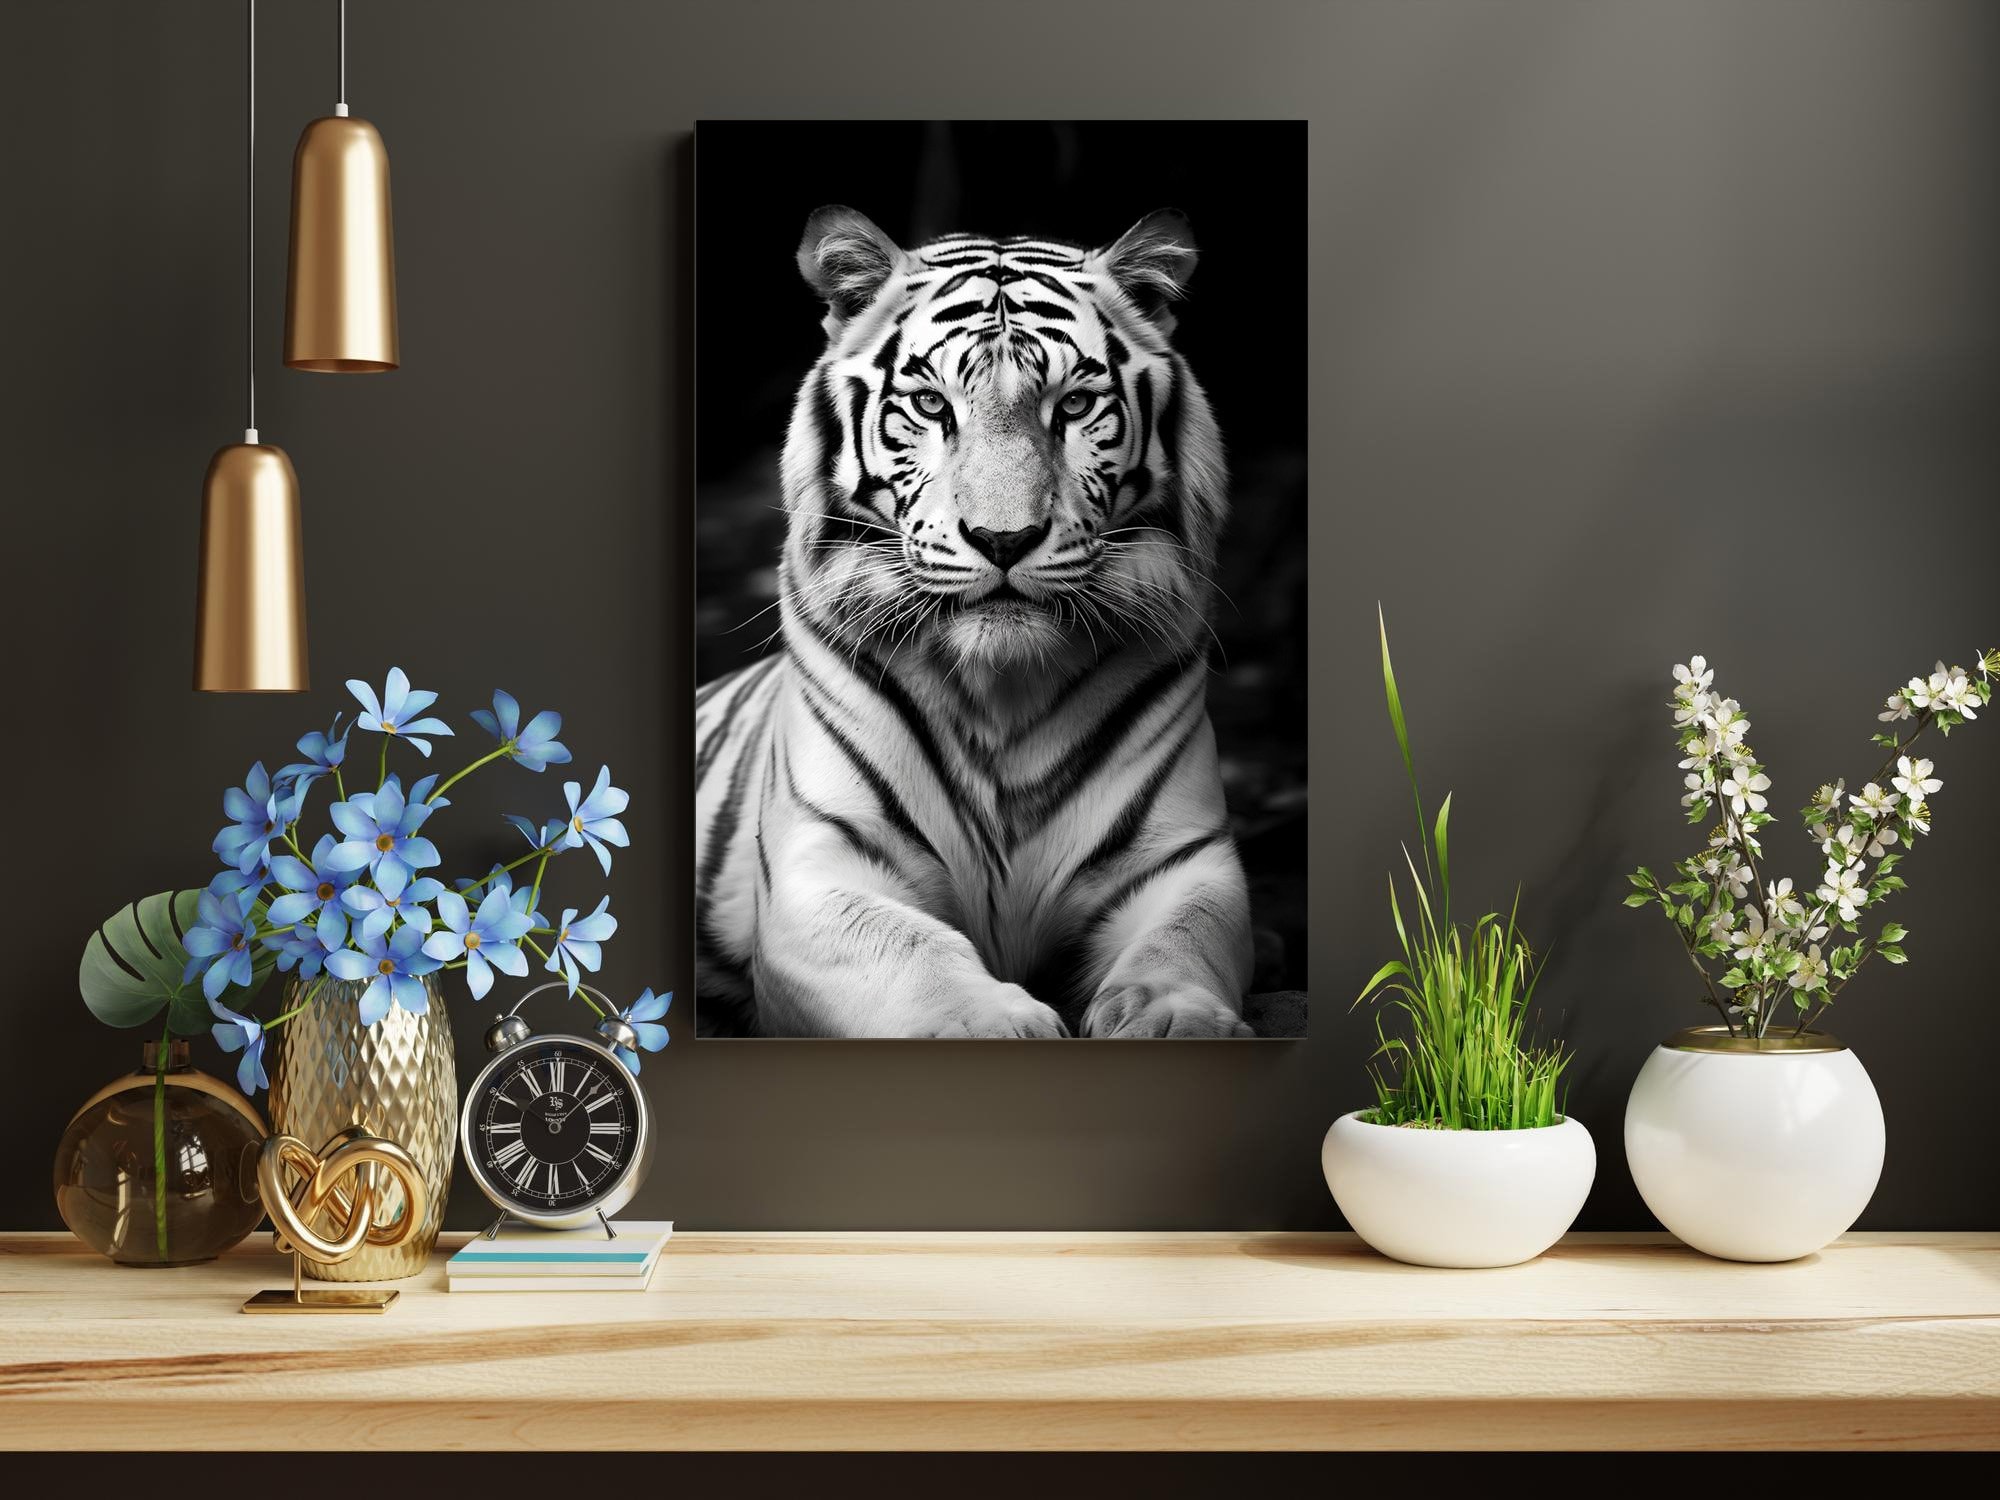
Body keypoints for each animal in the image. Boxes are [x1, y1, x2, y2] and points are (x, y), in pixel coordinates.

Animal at [693, 205, 1256, 1038]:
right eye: (932, 405)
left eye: (1074, 406)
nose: (1003, 539)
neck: (1002, 697)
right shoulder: (818, 867)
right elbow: (908, 947)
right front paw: (994, 1022)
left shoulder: (1182, 859)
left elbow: (1182, 941)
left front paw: (1174, 1019)